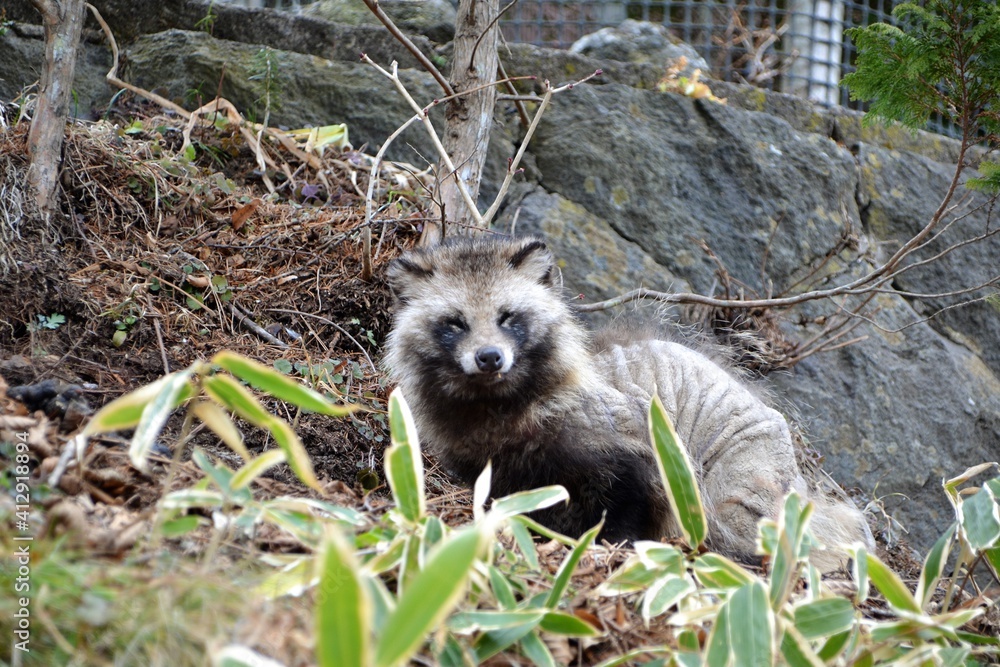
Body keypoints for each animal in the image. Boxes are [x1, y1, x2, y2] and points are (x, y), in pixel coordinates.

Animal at [385, 235, 873, 571]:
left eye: (509, 317)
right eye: (455, 323)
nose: (489, 357)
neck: (495, 406)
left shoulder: (625, 435)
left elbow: (630, 496)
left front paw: (610, 546)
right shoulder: (486, 465)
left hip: (748, 470)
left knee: (736, 518)